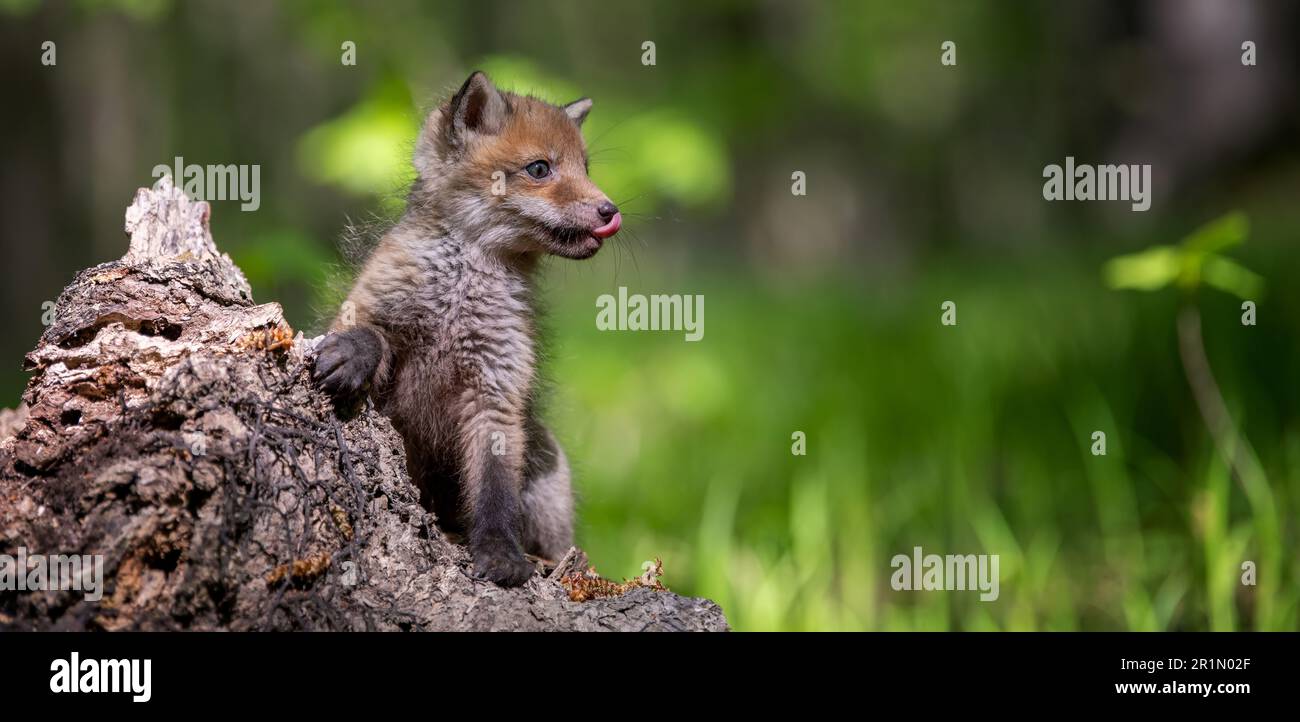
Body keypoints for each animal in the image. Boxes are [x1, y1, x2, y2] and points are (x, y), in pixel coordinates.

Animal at [311, 71, 622, 587]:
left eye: (586, 167)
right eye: (540, 169)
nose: (610, 211)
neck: (462, 288)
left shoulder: (496, 391)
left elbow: (495, 493)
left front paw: (499, 554)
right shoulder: (370, 308)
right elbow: (370, 332)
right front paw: (350, 354)